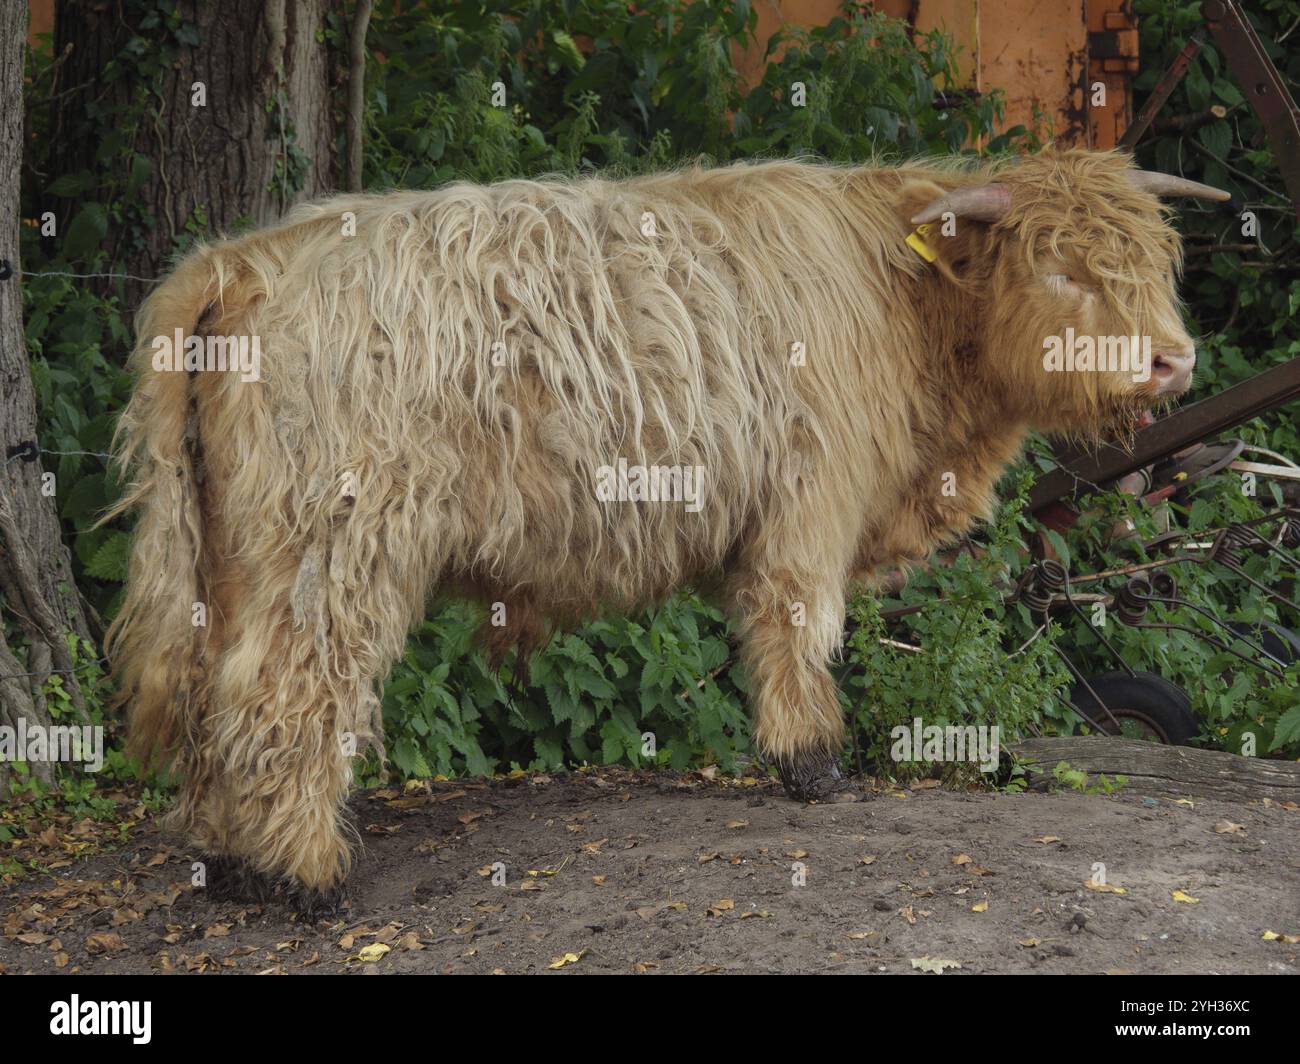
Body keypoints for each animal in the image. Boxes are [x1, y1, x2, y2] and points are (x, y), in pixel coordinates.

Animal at [105, 148, 1226, 905]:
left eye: (1151, 259)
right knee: (289, 686)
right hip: (339, 536)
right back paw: (306, 873)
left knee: (214, 684)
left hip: (233, 548)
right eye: (1060, 266)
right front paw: (811, 763)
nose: (1173, 360)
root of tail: (243, 256)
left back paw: (231, 859)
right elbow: (796, 627)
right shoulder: (809, 497)